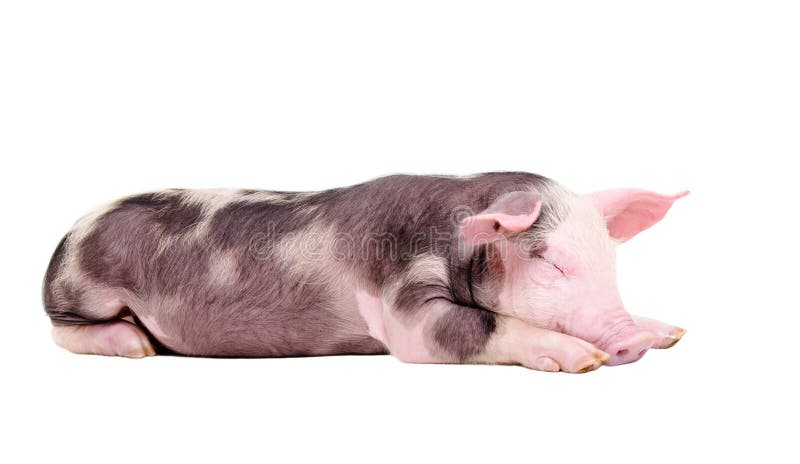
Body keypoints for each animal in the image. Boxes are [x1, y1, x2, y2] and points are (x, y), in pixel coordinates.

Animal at [42, 172, 688, 372]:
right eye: (551, 262)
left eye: (610, 262)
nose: (626, 340)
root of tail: (69, 234)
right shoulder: (403, 302)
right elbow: (472, 328)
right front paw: (582, 359)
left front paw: (668, 332)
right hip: (82, 292)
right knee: (60, 331)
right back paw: (136, 346)